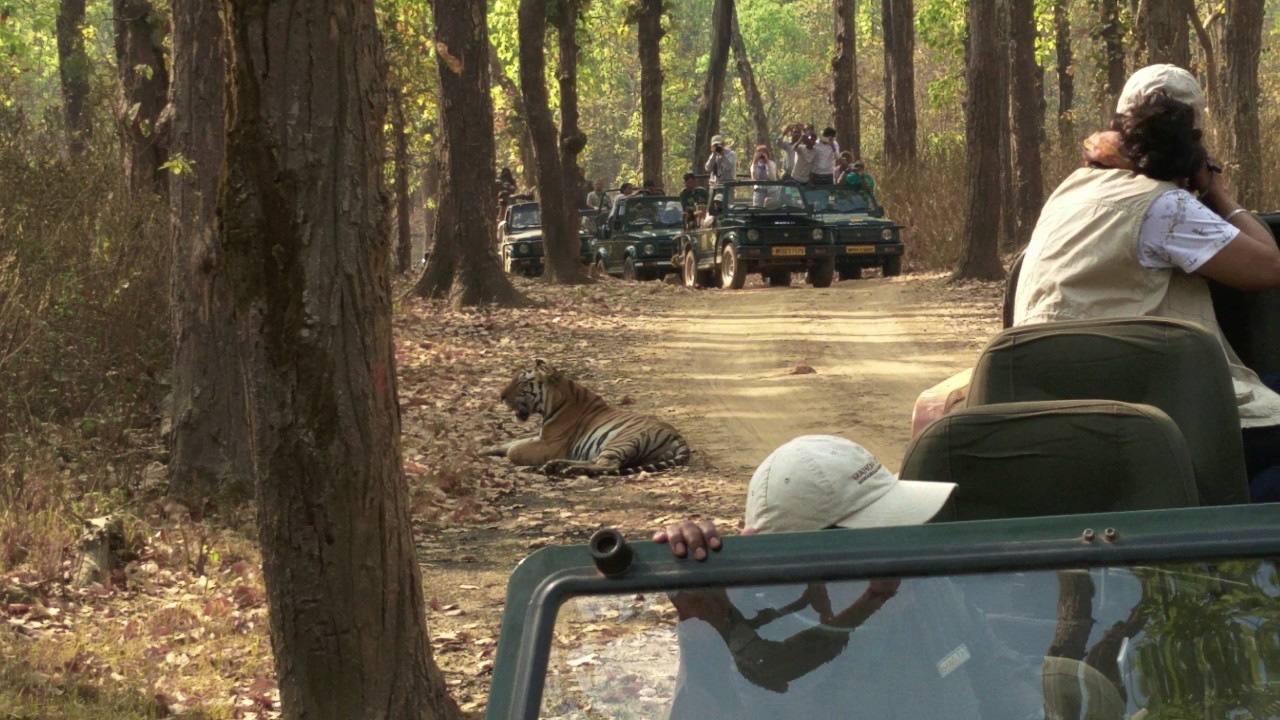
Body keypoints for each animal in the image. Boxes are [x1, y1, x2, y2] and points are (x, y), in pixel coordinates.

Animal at [483, 359, 691, 477]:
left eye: (523, 382)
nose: (501, 396)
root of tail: (679, 438)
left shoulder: (551, 444)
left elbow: (514, 450)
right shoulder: (540, 437)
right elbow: (511, 443)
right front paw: (484, 450)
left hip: (622, 440)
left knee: (607, 464)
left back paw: (569, 470)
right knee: (597, 460)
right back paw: (556, 466)